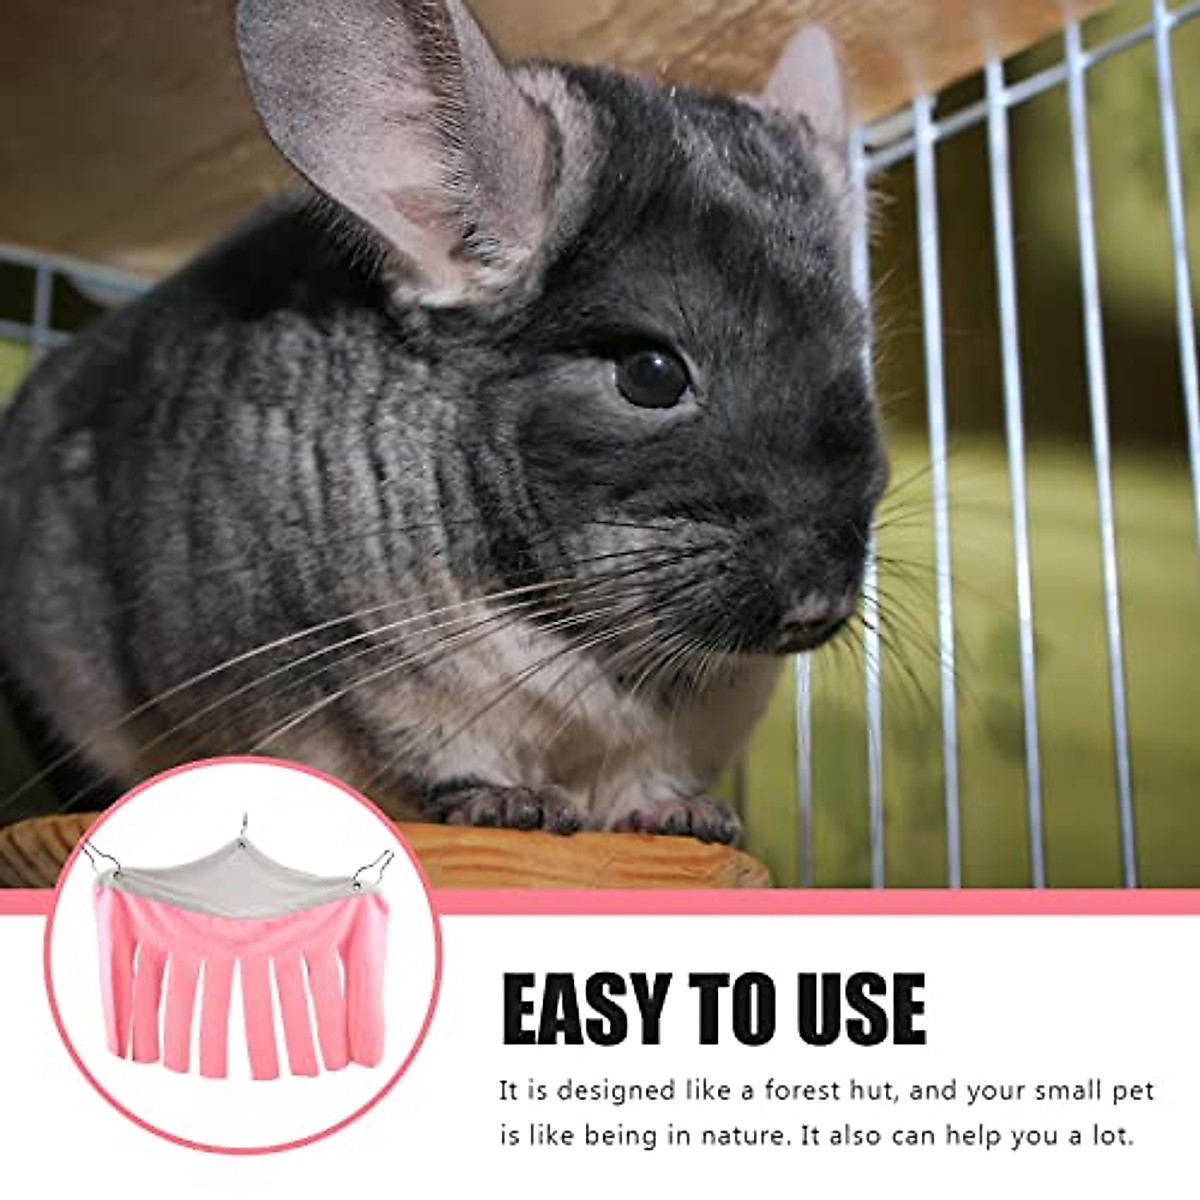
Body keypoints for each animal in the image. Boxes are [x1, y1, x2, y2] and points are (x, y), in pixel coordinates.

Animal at [0, 0, 887, 844]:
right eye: (652, 373)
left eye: (857, 353)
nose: (818, 600)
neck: (588, 639)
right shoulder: (365, 674)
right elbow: (436, 756)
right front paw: (513, 805)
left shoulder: (689, 732)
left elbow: (652, 782)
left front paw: (691, 819)